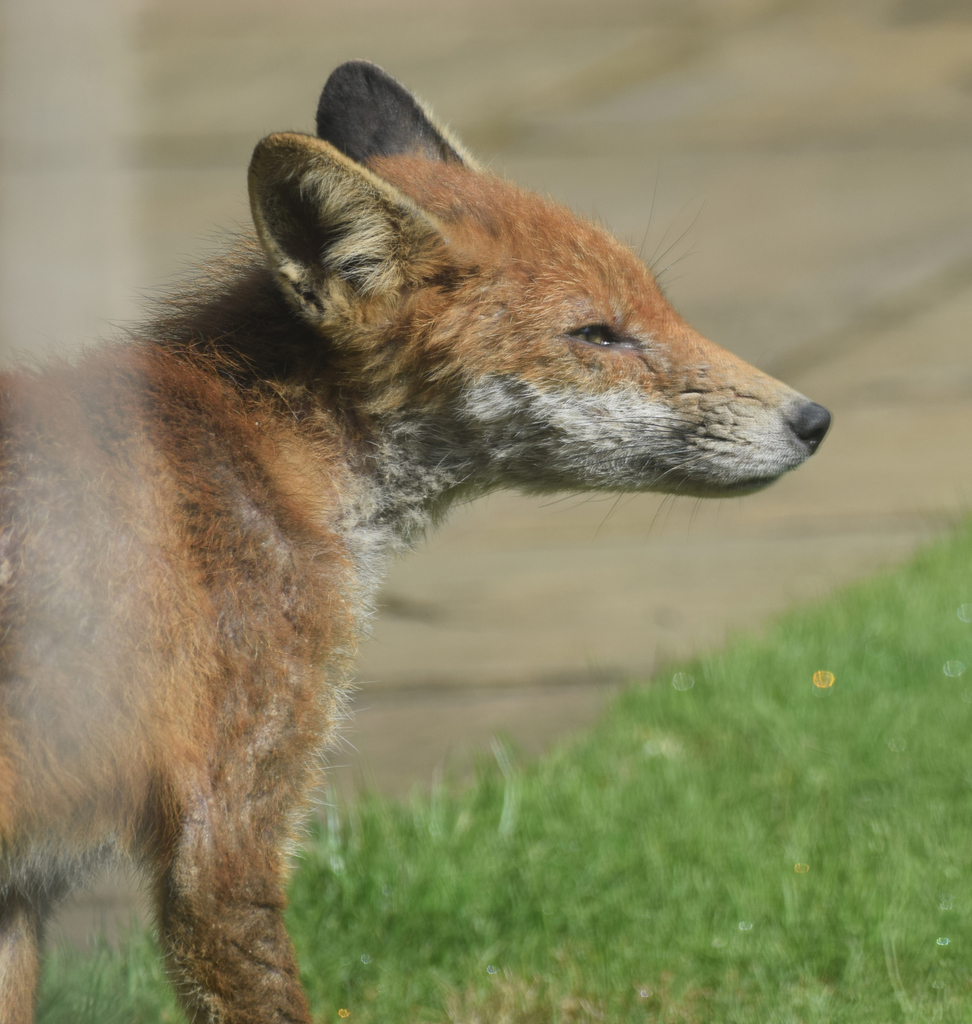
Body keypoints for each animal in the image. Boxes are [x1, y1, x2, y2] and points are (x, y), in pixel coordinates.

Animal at [0, 61, 829, 1023]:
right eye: (596, 333)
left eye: (661, 306)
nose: (814, 420)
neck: (265, 461)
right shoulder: (225, 834)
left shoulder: (21, 897)